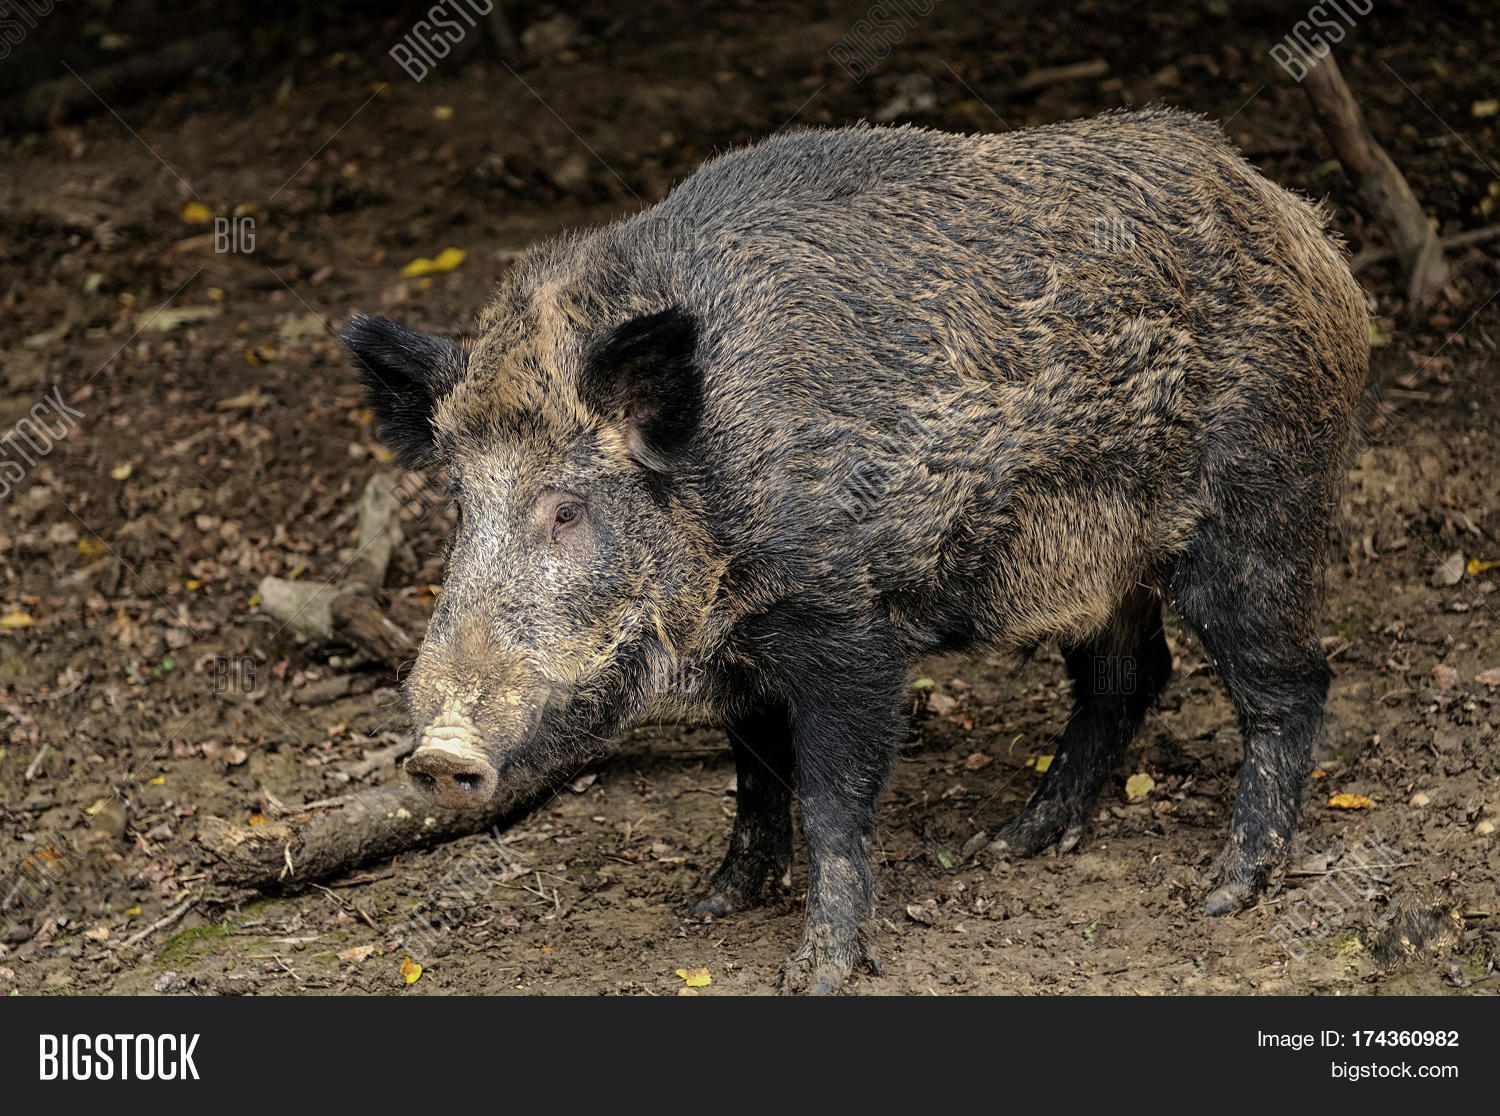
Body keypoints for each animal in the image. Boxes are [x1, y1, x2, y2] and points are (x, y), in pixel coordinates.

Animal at [342, 108, 1369, 994]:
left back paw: (1225, 892)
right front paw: (710, 908)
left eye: (566, 510)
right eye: (460, 502)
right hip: (1096, 566)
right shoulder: (744, 654)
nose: (437, 756)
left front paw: (818, 974)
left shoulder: (848, 628)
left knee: (1288, 684)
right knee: (1129, 675)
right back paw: (1009, 842)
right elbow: (753, 776)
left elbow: (832, 797)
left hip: (1258, 512)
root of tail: (1306, 230)